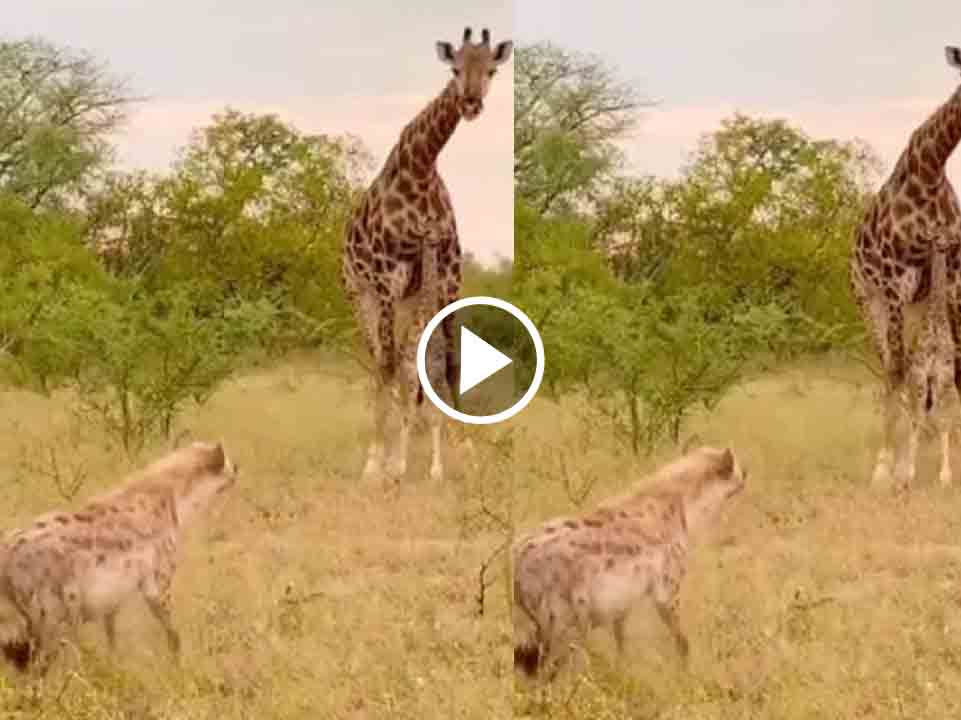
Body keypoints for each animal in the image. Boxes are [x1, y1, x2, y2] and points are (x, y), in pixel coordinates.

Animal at [342, 27, 512, 484]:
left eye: (491, 70)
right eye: (454, 68)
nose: (470, 103)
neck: (420, 167)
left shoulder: (448, 275)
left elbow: (449, 363)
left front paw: (463, 451)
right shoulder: (386, 279)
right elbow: (388, 365)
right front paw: (376, 462)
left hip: (408, 298)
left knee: (405, 359)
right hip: (362, 295)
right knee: (381, 360)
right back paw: (381, 458)